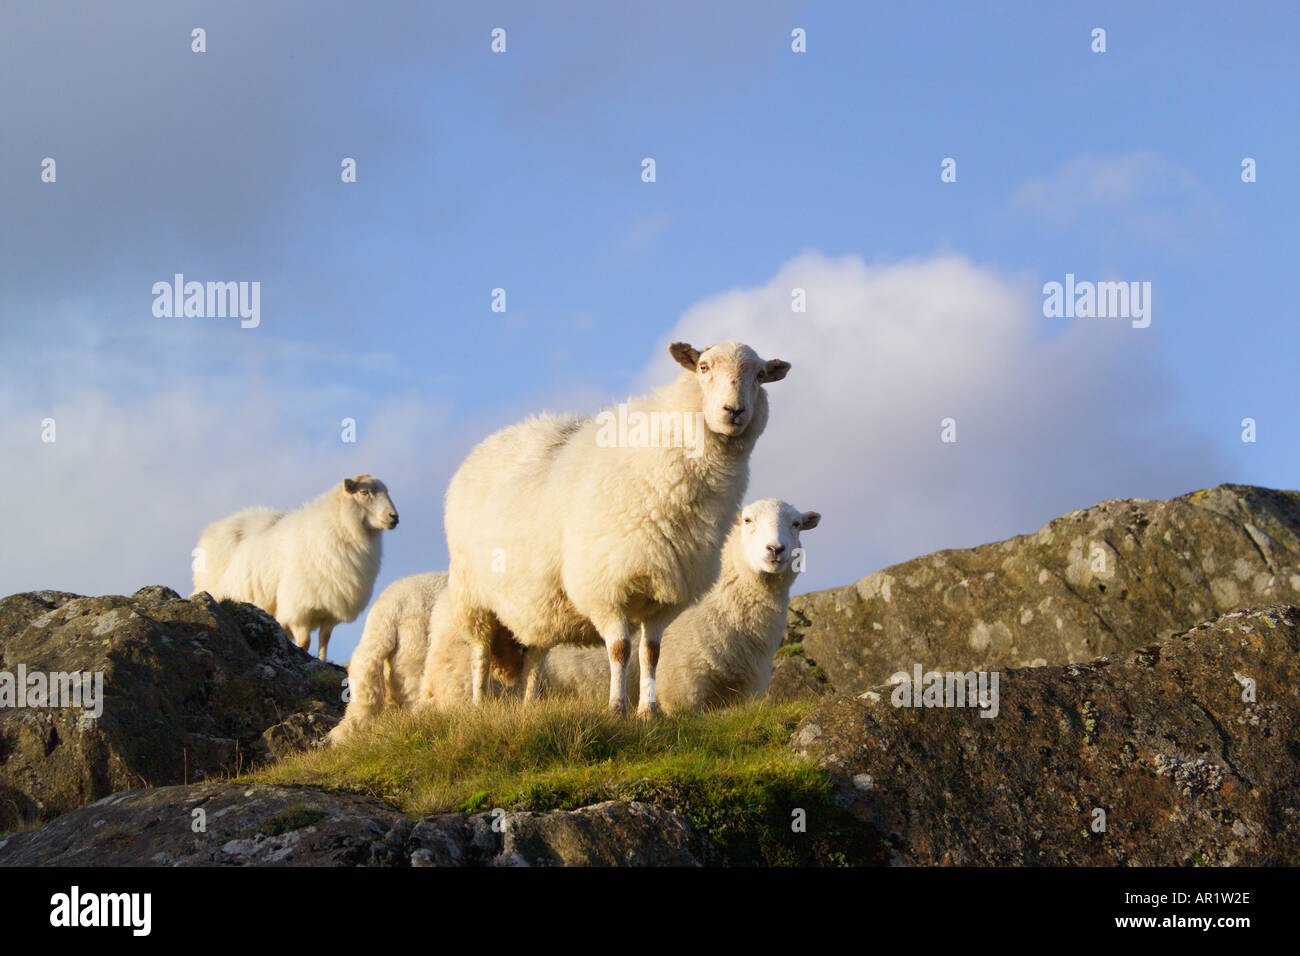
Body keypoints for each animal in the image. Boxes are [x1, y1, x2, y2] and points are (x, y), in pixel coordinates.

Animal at [191, 475, 398, 661]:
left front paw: (322, 661)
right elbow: (304, 643)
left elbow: (324, 641)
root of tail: (213, 528)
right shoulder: (299, 607)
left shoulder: (331, 609)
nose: (394, 517)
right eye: (364, 492)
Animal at [417, 340, 790, 717]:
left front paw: (648, 711)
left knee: (535, 657)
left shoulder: (666, 594)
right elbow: (621, 649)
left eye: (760, 375)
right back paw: (478, 704)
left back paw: (529, 704)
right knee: (479, 653)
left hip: (537, 605)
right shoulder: (604, 585)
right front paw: (616, 708)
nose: (734, 411)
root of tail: (492, 441)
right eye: (703, 366)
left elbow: (651, 654)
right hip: (473, 597)